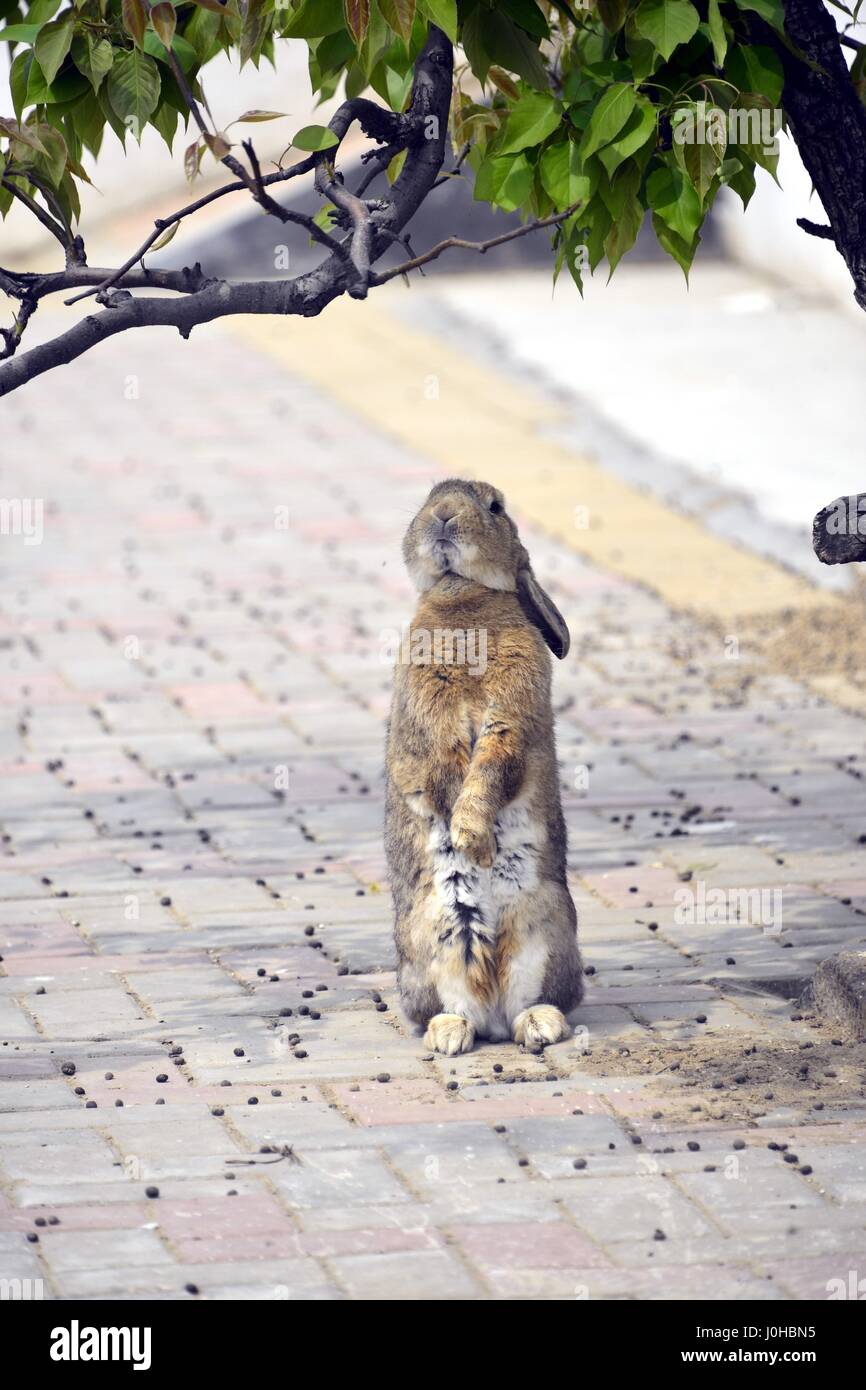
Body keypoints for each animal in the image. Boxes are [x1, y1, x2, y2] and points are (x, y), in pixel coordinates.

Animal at [385, 478, 583, 1056]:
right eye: (428, 498)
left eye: (495, 507)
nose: (445, 514)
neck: (462, 600)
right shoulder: (432, 724)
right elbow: (446, 772)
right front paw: (469, 844)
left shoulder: (509, 722)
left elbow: (490, 769)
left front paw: (473, 840)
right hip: (433, 943)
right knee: (457, 1005)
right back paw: (450, 1036)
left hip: (544, 930)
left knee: (534, 1001)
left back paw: (539, 1027)